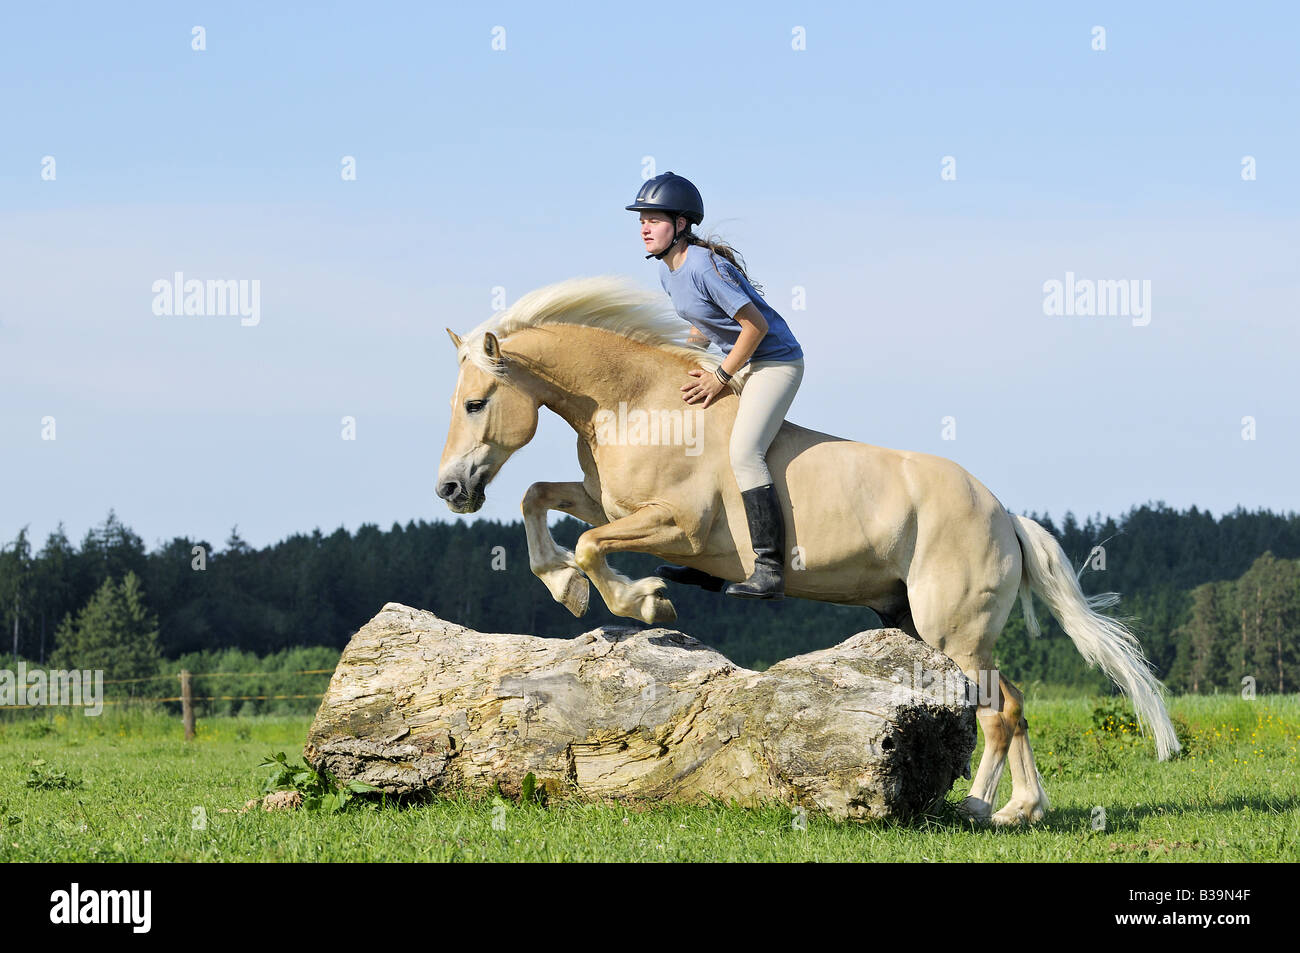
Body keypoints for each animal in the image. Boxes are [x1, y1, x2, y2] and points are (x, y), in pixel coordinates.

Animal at [435, 275, 1180, 825]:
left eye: (475, 403)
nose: (450, 489)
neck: (636, 404)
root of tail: (1004, 515)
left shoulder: (675, 525)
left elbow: (591, 545)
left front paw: (642, 601)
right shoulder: (610, 505)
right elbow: (537, 497)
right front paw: (564, 585)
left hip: (954, 629)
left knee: (996, 713)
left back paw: (975, 805)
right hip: (925, 626)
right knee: (1015, 703)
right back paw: (1021, 810)